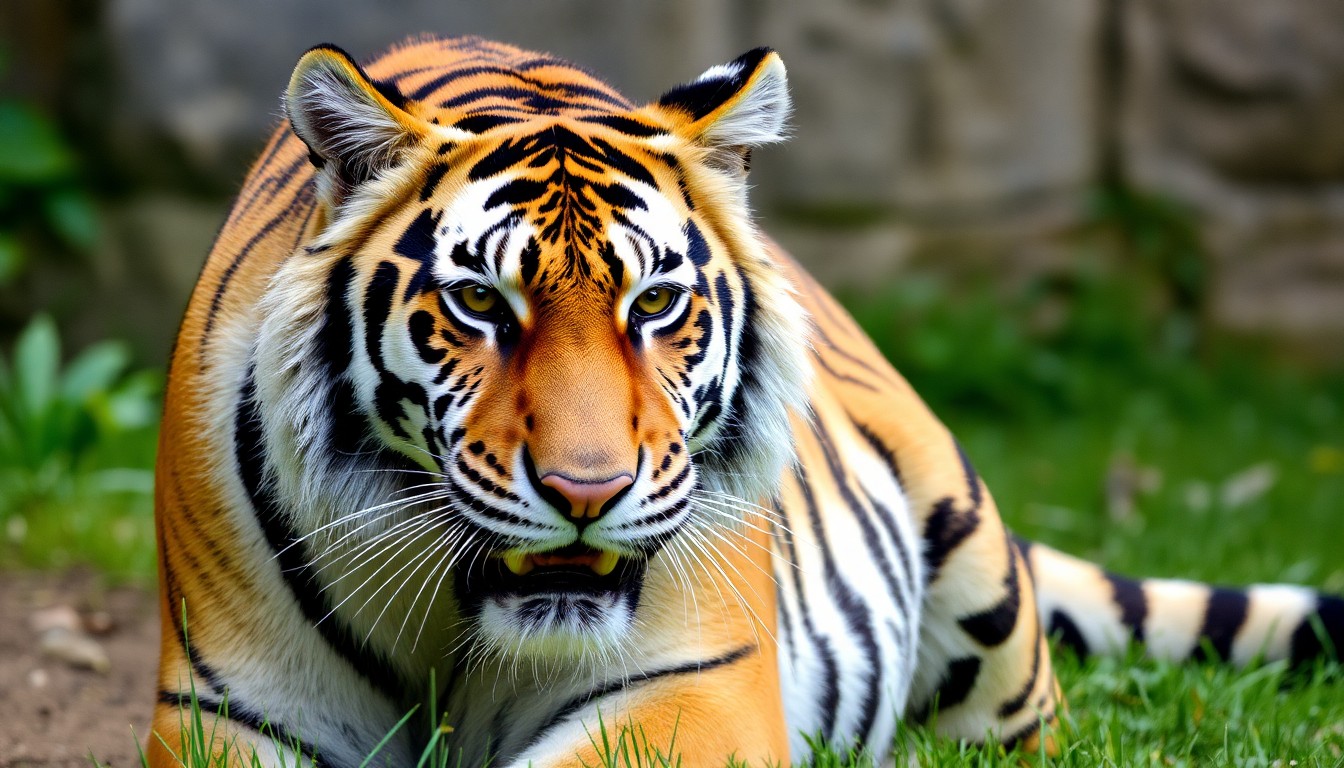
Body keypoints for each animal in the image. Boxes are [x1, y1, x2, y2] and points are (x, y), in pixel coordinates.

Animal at [149, 35, 1344, 768]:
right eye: (480, 302)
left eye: (656, 302)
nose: (588, 494)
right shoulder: (228, 707)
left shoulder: (693, 685)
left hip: (979, 580)